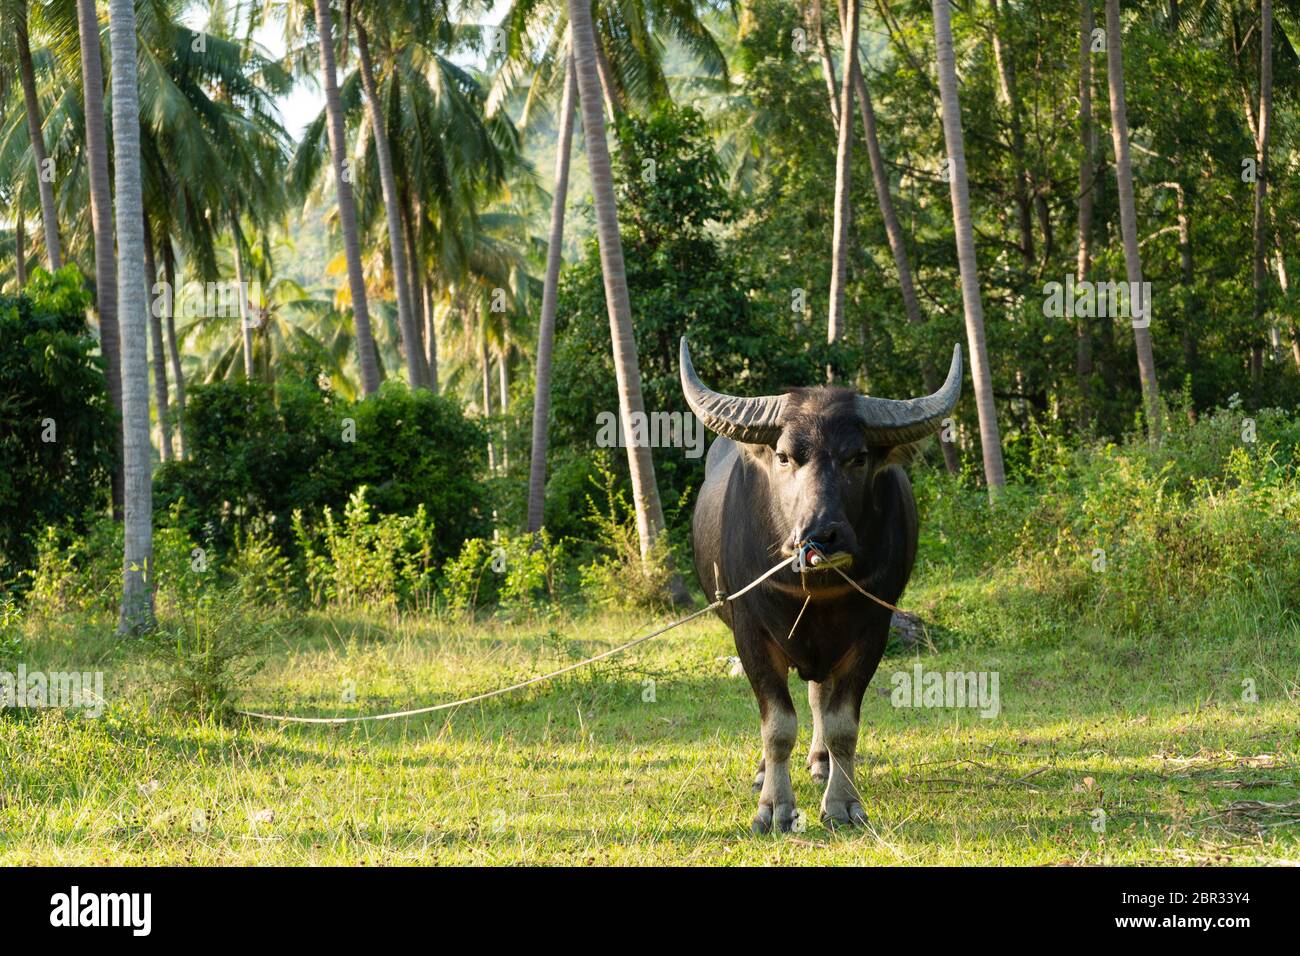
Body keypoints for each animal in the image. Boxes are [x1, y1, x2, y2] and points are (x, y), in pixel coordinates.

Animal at [680, 338, 962, 833]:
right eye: (784, 456)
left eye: (858, 457)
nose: (820, 535)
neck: (817, 590)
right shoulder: (750, 632)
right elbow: (776, 725)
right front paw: (774, 807)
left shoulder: (872, 631)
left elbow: (840, 724)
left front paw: (843, 803)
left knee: (818, 698)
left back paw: (822, 762)